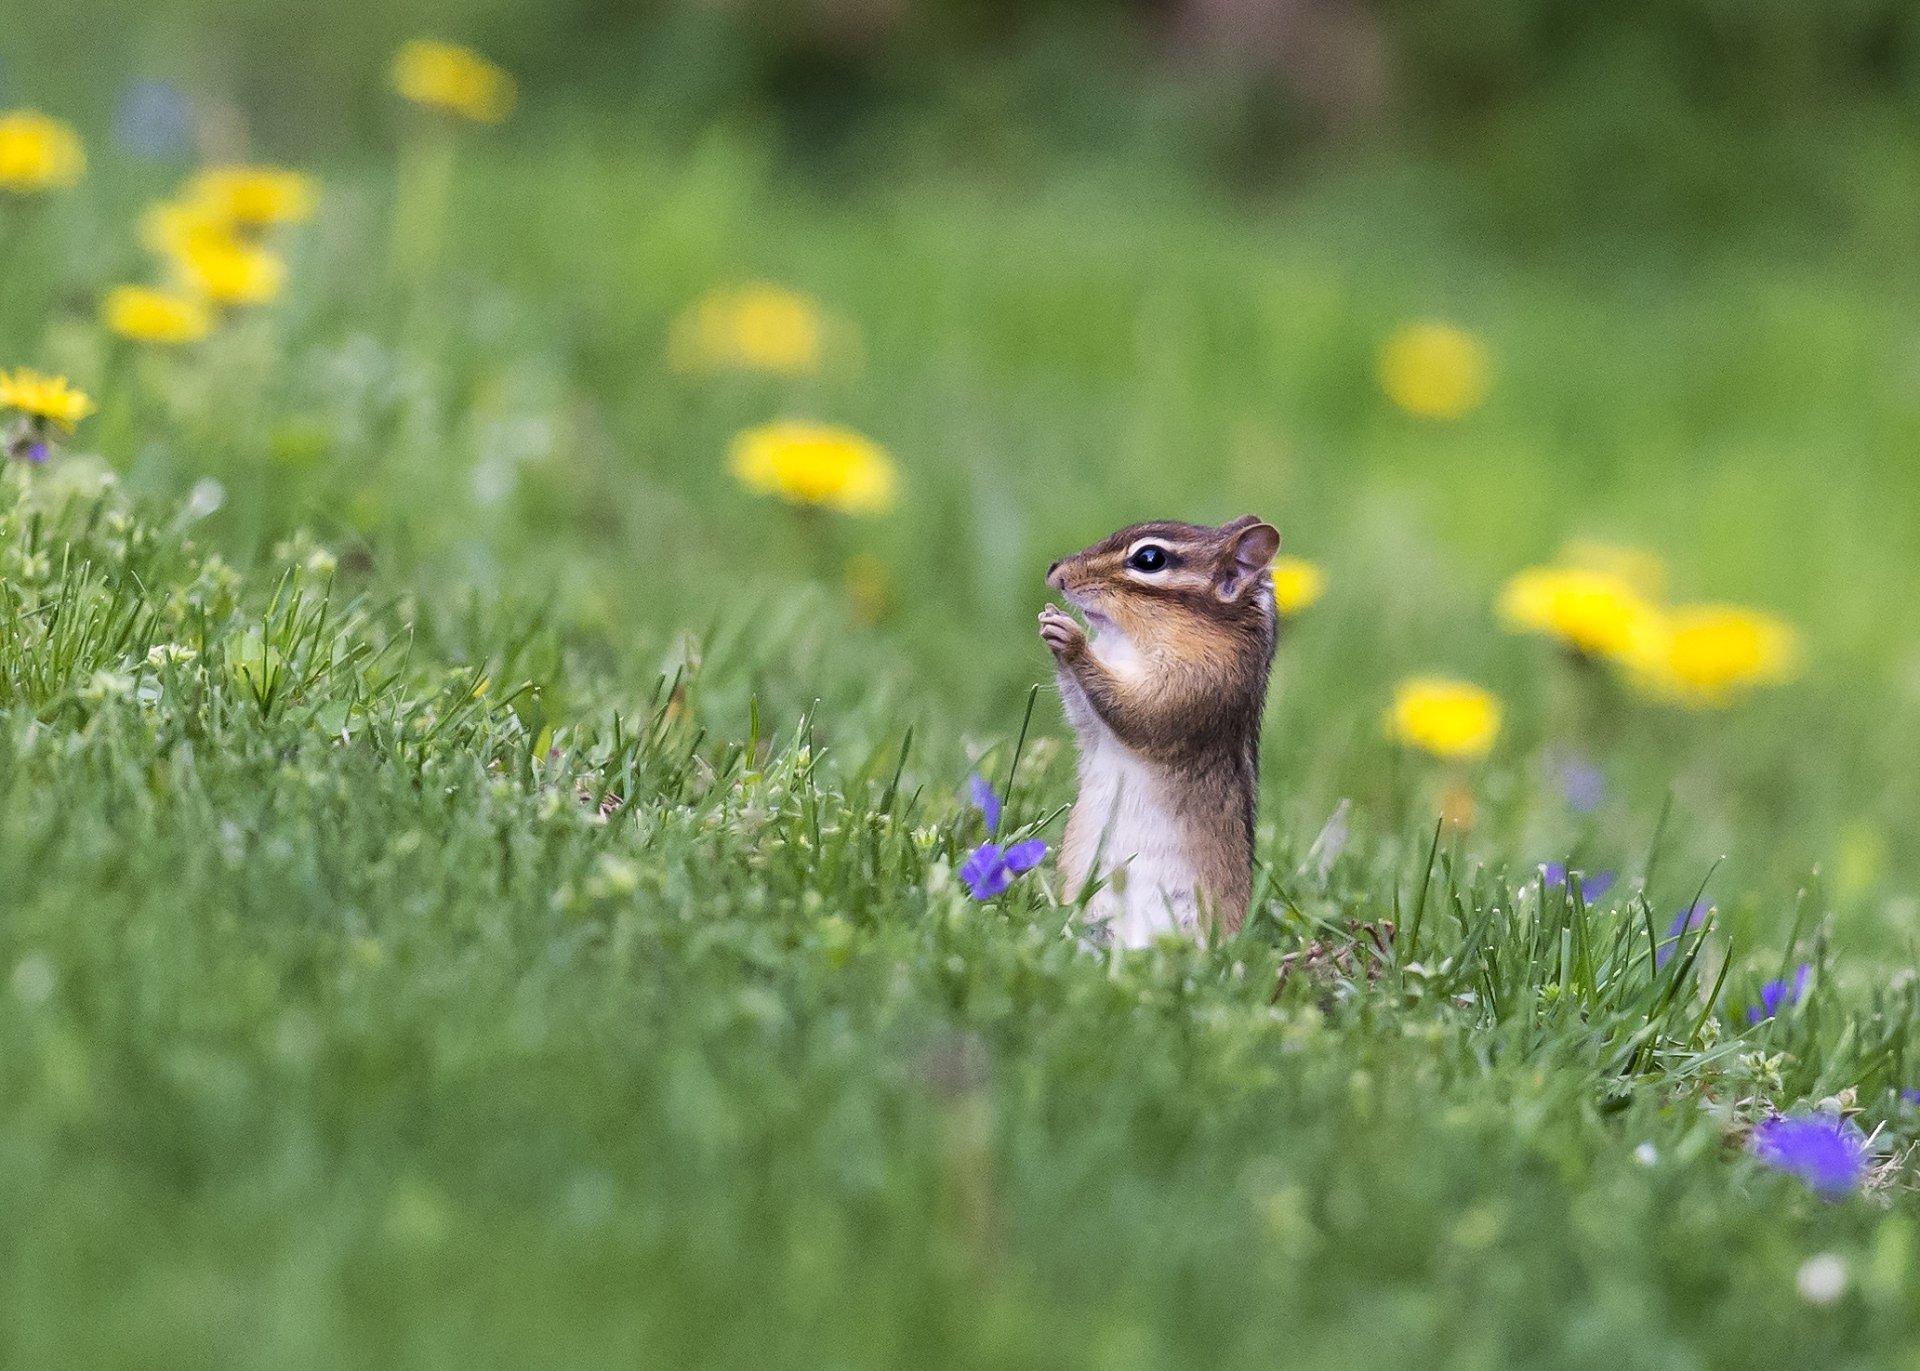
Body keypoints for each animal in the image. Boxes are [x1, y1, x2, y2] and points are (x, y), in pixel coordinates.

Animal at [1038, 515, 1280, 948]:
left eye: (1149, 559)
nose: (1055, 573)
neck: (1129, 643)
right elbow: (1084, 716)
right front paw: (1052, 629)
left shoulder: (1199, 684)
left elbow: (1141, 713)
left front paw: (1074, 642)